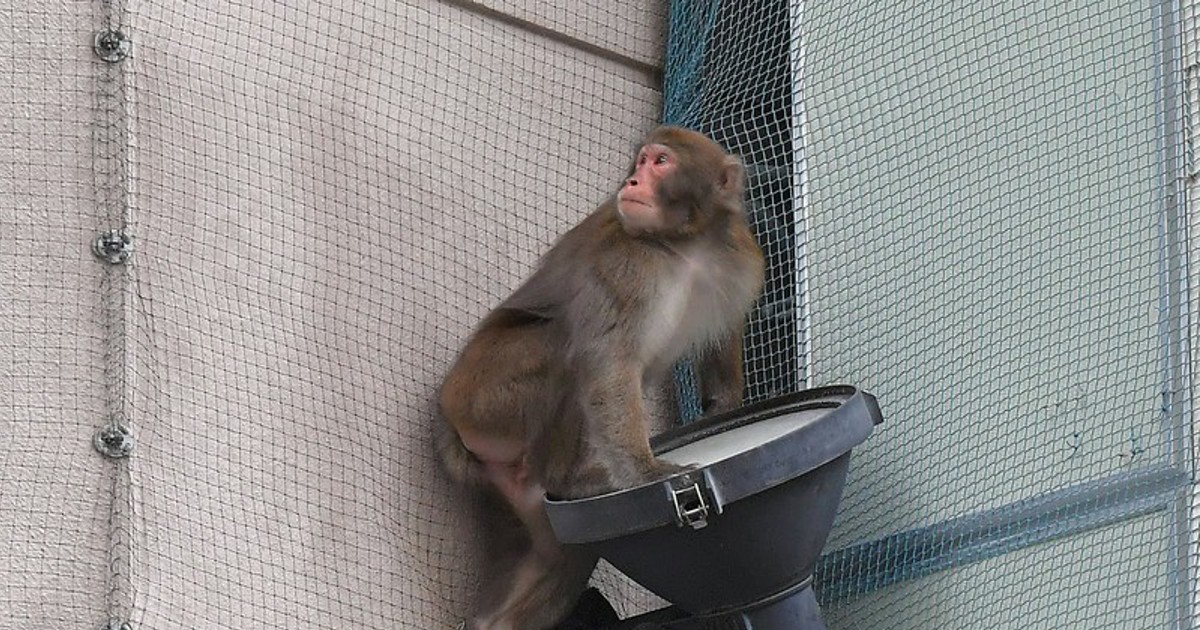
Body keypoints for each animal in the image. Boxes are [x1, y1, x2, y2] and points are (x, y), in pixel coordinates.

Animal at [436, 126, 765, 630]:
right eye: (642, 161)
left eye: (661, 161)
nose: (631, 181)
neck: (684, 246)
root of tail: (450, 419)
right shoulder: (624, 264)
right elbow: (609, 363)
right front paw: (647, 473)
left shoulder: (739, 256)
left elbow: (723, 338)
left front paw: (724, 410)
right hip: (483, 399)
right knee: (568, 351)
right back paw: (573, 480)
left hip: (516, 485)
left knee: (557, 558)